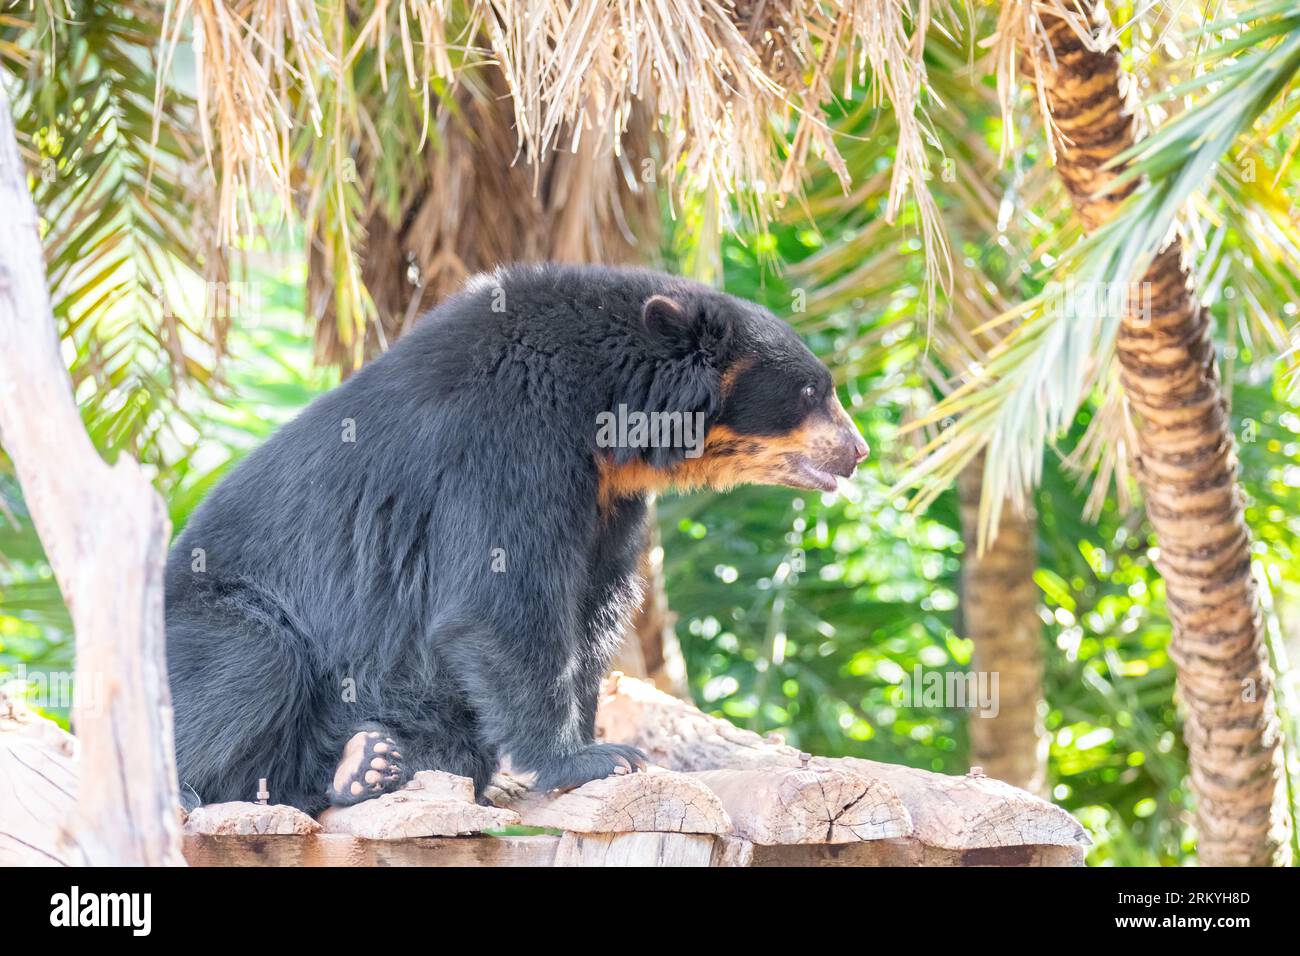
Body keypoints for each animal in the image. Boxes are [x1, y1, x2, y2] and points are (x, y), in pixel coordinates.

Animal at [165, 263, 868, 813]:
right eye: (812, 390)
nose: (857, 451)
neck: (606, 411)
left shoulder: (608, 498)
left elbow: (592, 609)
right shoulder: (507, 437)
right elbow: (502, 604)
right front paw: (595, 759)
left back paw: (368, 765)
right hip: (201, 624)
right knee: (255, 658)